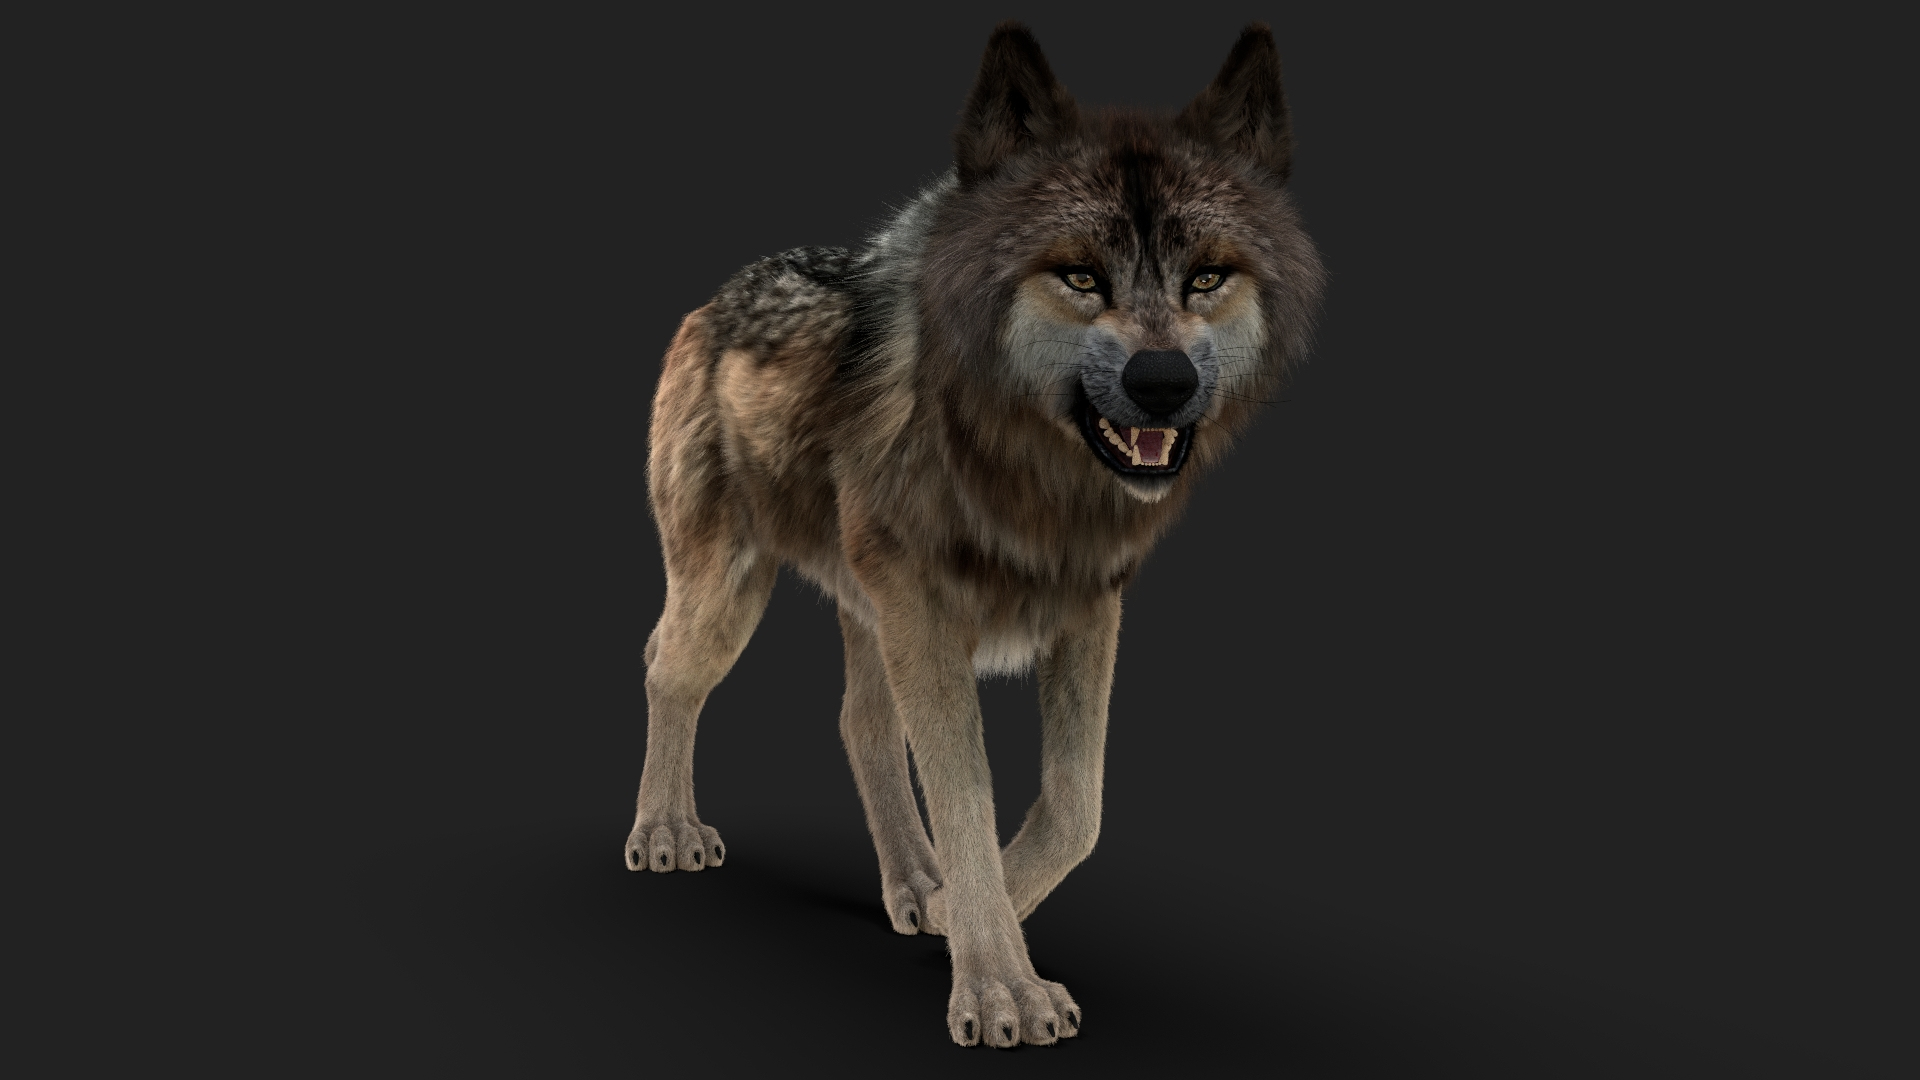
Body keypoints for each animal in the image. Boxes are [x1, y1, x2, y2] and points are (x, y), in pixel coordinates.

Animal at [625, 21, 1324, 1047]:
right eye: (1079, 276)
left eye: (1206, 276)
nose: (1163, 384)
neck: (1027, 473)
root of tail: (709, 303)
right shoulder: (927, 618)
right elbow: (966, 795)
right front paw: (1001, 987)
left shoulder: (1088, 613)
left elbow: (1077, 809)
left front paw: (962, 910)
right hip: (732, 597)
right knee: (666, 668)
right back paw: (666, 830)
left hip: (862, 609)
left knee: (859, 722)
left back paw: (916, 884)